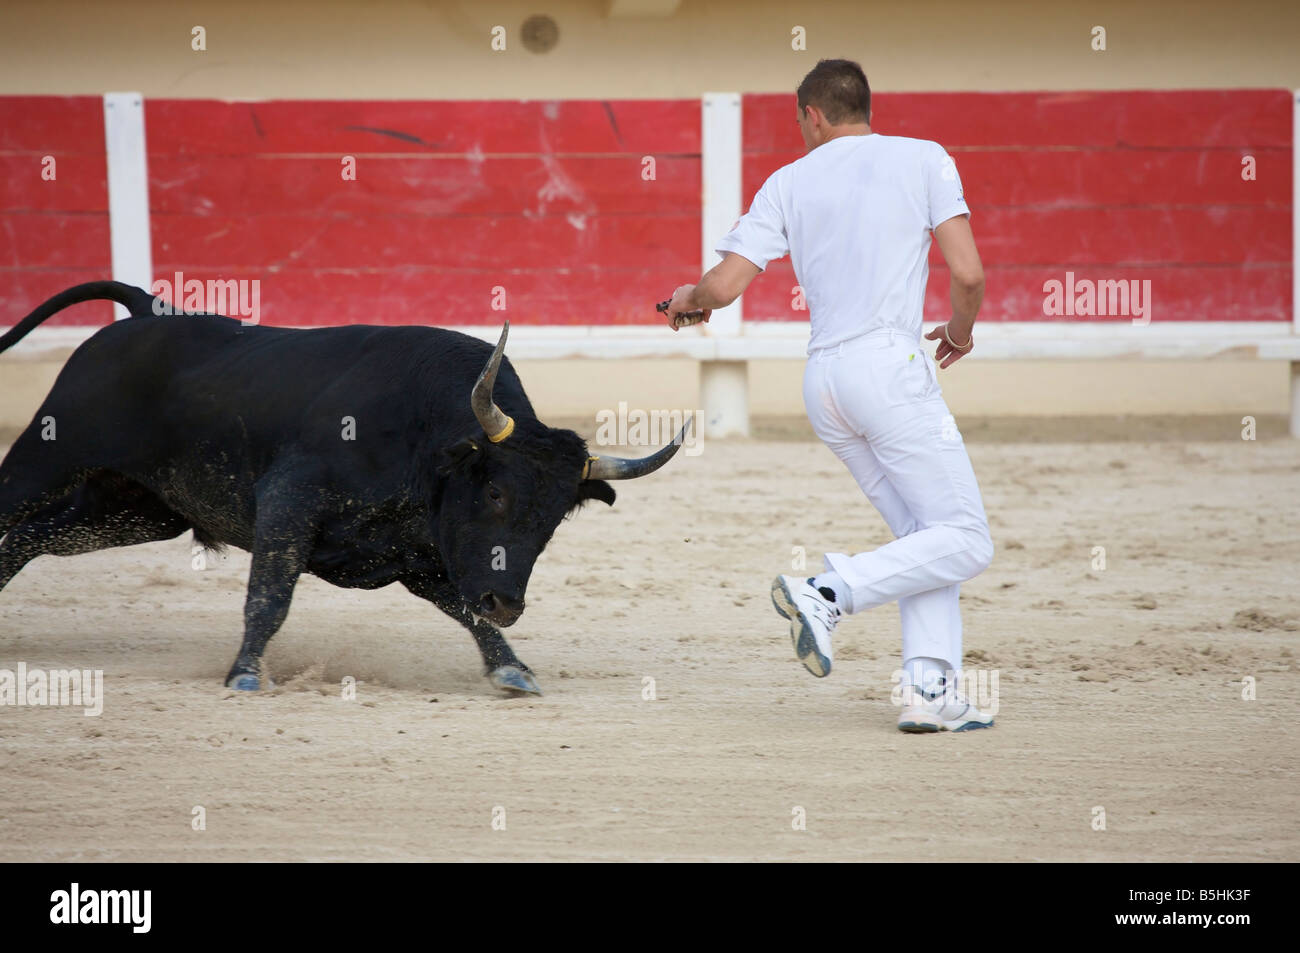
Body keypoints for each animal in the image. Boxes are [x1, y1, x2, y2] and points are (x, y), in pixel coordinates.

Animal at [0, 282, 690, 695]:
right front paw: (245, 675)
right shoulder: (289, 501)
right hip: (45, 459)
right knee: (13, 515)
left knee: (28, 541)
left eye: (552, 522)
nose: (507, 603)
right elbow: (270, 596)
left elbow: (462, 609)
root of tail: (145, 310)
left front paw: (511, 670)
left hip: (131, 510)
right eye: (496, 494)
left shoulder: (420, 557)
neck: (420, 438)